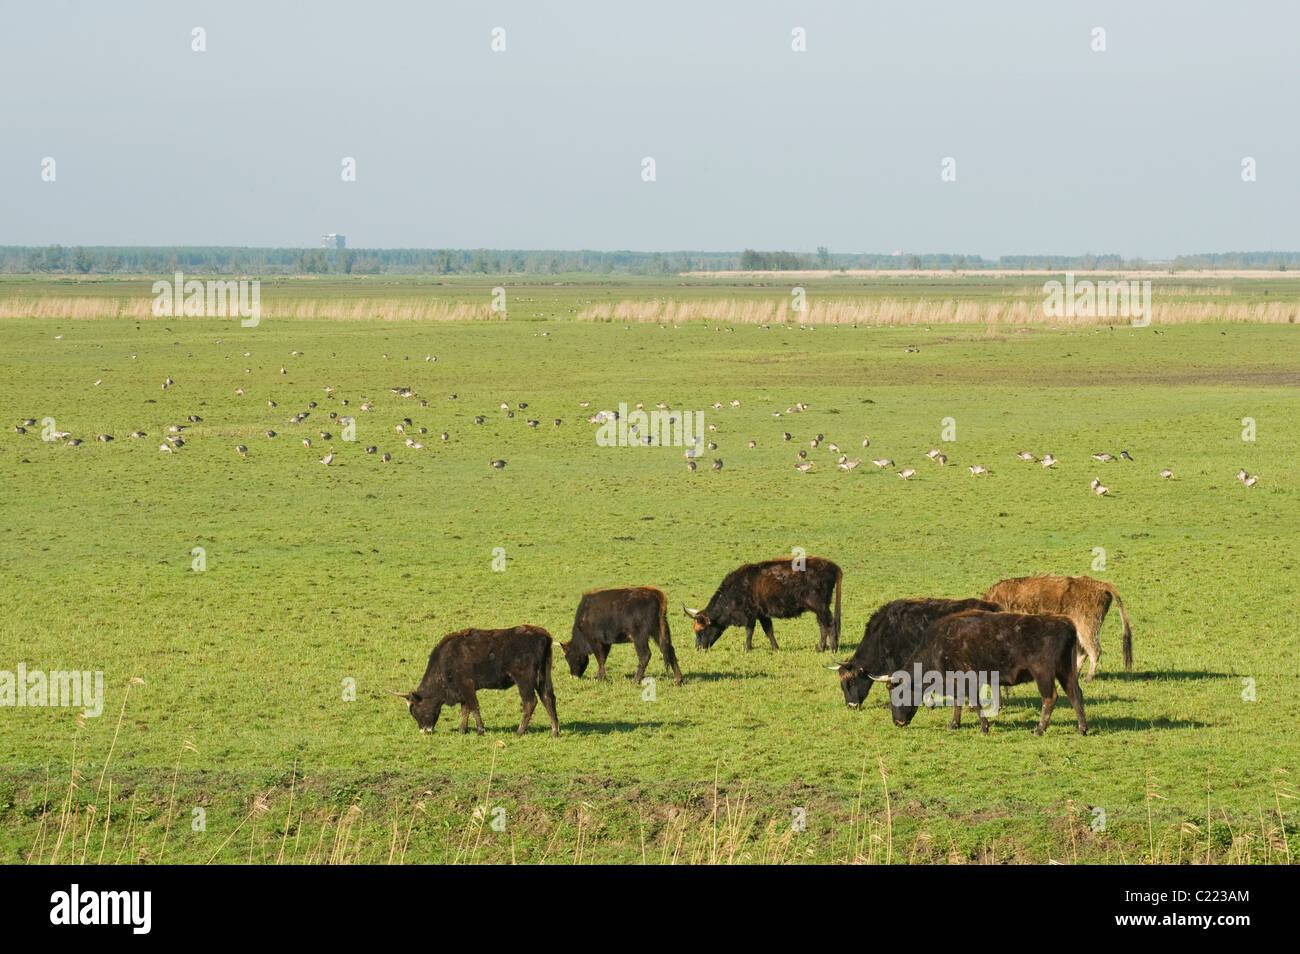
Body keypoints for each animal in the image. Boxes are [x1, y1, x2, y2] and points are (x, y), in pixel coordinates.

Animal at [395, 625, 559, 737]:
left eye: (415, 710)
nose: (425, 731)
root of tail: (544, 635)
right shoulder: (463, 690)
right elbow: (465, 710)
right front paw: (462, 730)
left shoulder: (467, 684)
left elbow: (473, 707)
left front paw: (480, 730)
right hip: (543, 678)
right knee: (548, 699)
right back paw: (555, 731)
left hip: (524, 680)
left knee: (530, 702)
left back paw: (519, 731)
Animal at [683, 557, 842, 651]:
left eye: (700, 631)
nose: (698, 648)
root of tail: (832, 566)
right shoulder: (762, 614)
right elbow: (769, 631)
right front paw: (775, 648)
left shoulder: (750, 614)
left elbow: (749, 631)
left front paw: (747, 648)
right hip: (819, 609)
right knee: (823, 626)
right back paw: (820, 648)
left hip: (821, 607)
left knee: (830, 624)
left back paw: (833, 648)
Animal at [871, 609, 1086, 735]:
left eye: (898, 693)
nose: (898, 722)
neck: (937, 644)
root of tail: (1066, 624)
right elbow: (958, 702)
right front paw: (954, 724)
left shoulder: (966, 678)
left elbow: (973, 702)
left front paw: (984, 727)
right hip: (1066, 671)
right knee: (1075, 694)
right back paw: (1082, 729)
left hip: (1044, 674)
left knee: (1050, 697)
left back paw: (1039, 729)